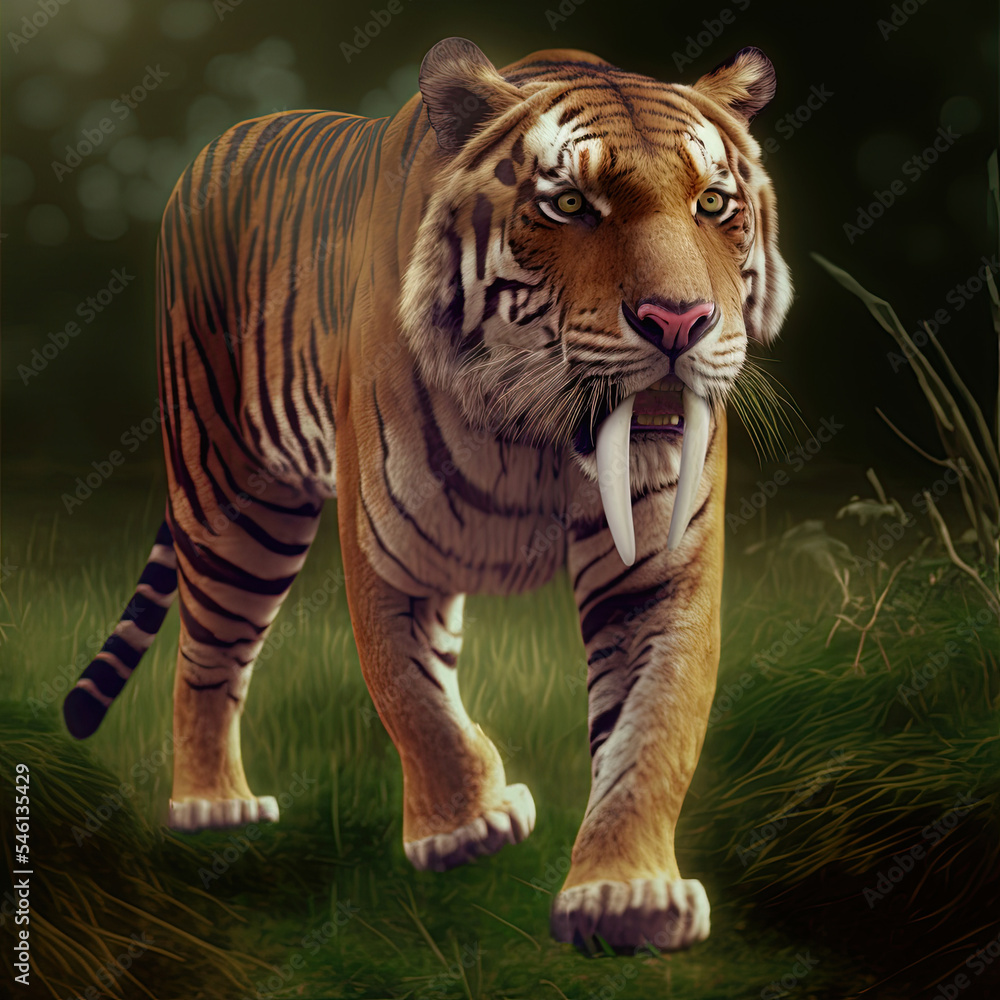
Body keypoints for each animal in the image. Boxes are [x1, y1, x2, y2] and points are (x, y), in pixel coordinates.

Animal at [63, 38, 792, 950]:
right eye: (569, 204)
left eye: (713, 202)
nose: (679, 322)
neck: (538, 433)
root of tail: (218, 141)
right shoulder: (386, 540)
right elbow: (408, 692)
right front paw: (466, 826)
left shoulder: (660, 566)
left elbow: (653, 718)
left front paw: (627, 895)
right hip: (237, 491)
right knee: (209, 650)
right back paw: (211, 807)